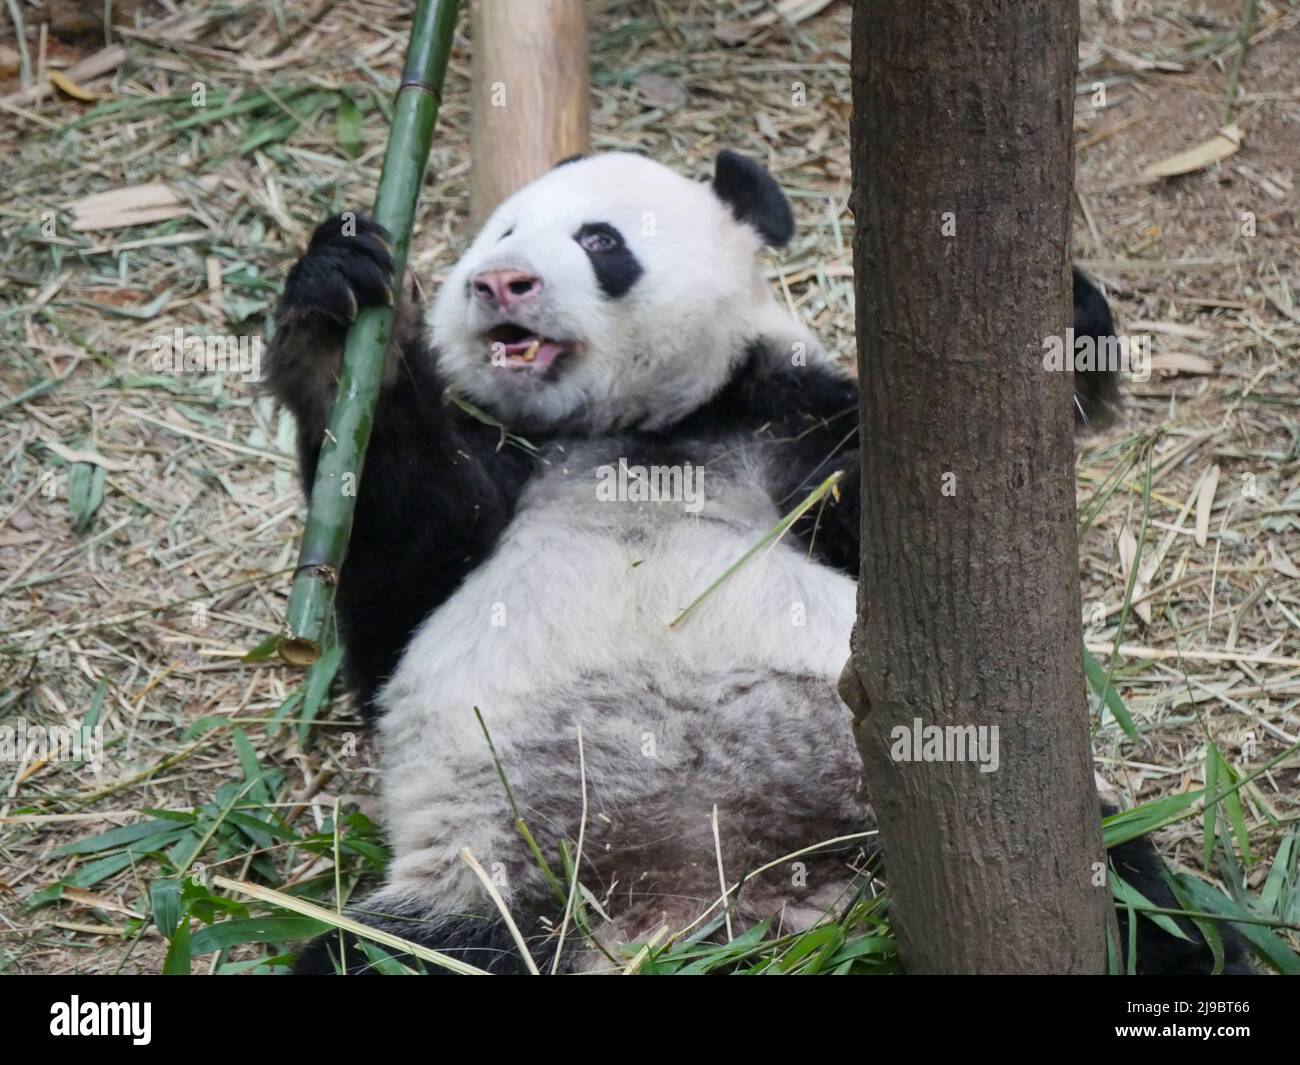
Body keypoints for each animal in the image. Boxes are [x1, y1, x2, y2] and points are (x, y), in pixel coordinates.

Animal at [267, 150, 1246, 975]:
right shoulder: (496, 474)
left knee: (1126, 895)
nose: (499, 280)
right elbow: (399, 565)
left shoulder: (791, 424)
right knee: (381, 955)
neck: (642, 433)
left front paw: (1062, 322)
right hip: (496, 883)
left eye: (600, 240)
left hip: (896, 816)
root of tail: (724, 913)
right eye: (501, 232)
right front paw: (336, 316)